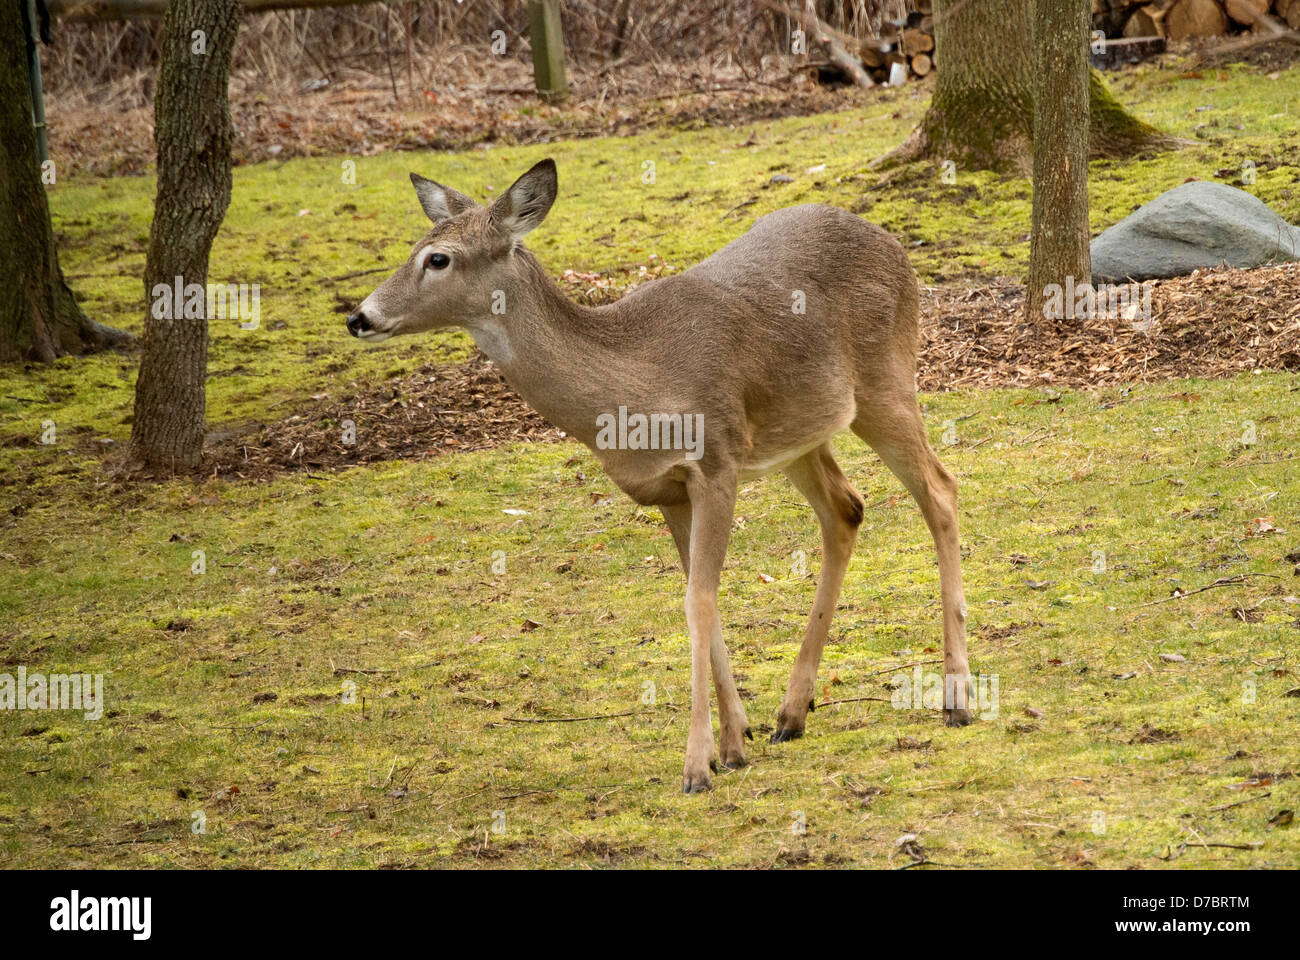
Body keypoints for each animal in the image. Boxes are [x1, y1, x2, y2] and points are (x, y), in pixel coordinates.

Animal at [346, 159, 973, 793]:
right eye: (414, 248)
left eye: (439, 258)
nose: (358, 317)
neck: (634, 389)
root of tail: (894, 245)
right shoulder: (668, 493)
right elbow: (701, 596)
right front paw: (733, 743)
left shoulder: (717, 459)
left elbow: (698, 601)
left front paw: (697, 765)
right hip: (802, 429)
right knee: (847, 508)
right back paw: (791, 715)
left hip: (885, 377)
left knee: (940, 490)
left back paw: (956, 700)